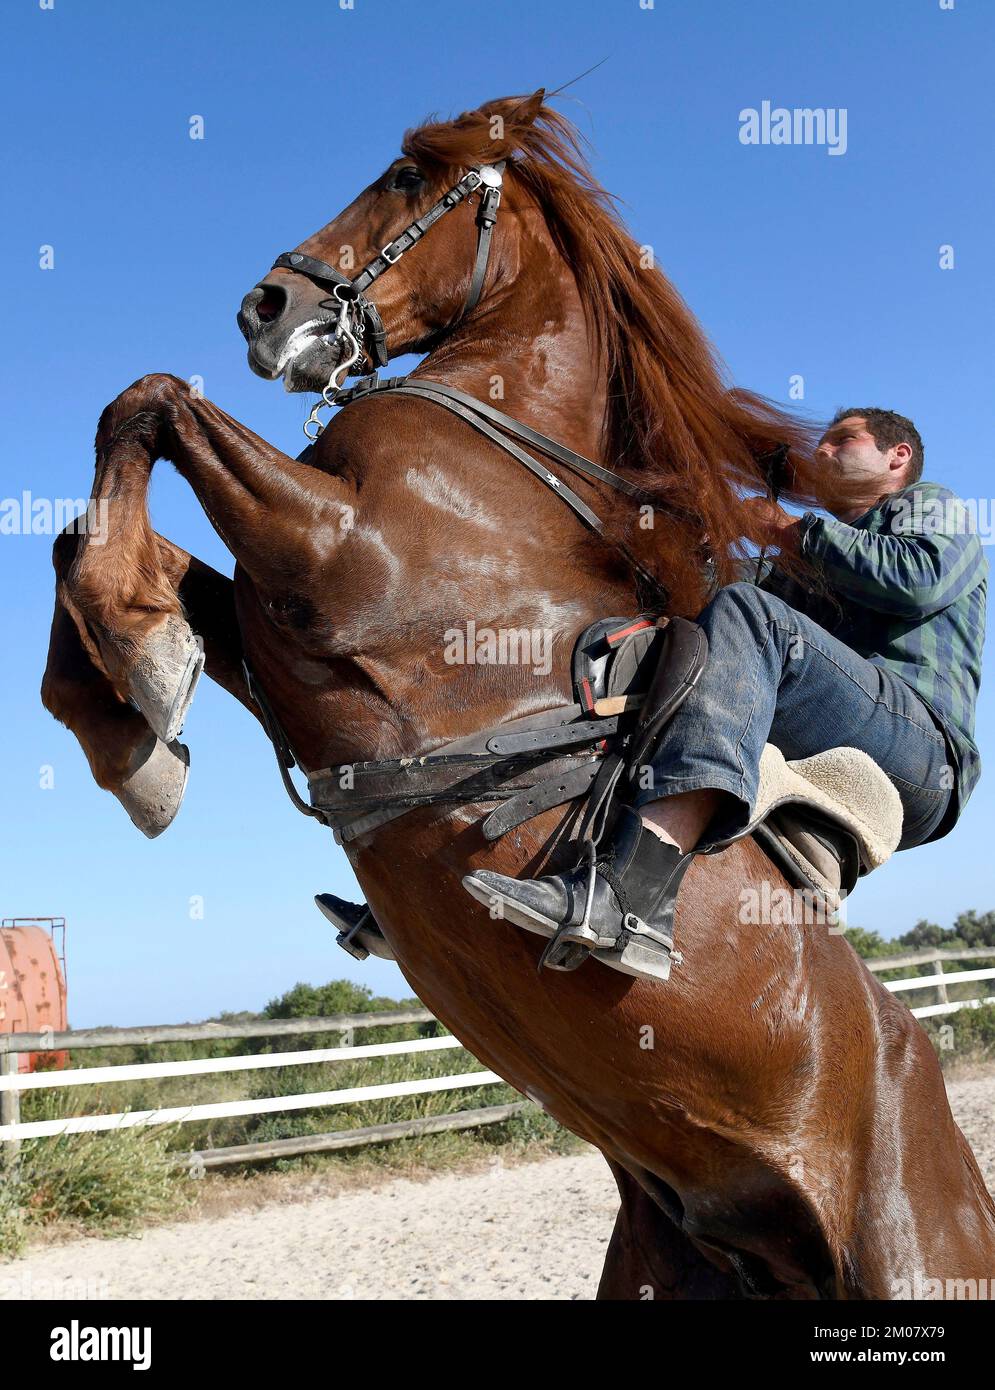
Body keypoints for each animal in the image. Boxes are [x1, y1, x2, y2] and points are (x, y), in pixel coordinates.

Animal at [42, 91, 995, 1299]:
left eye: (406, 177)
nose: (266, 307)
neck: (501, 444)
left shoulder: (334, 555)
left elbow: (151, 403)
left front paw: (135, 687)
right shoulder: (275, 626)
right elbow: (109, 526)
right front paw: (131, 712)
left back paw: (597, 912)